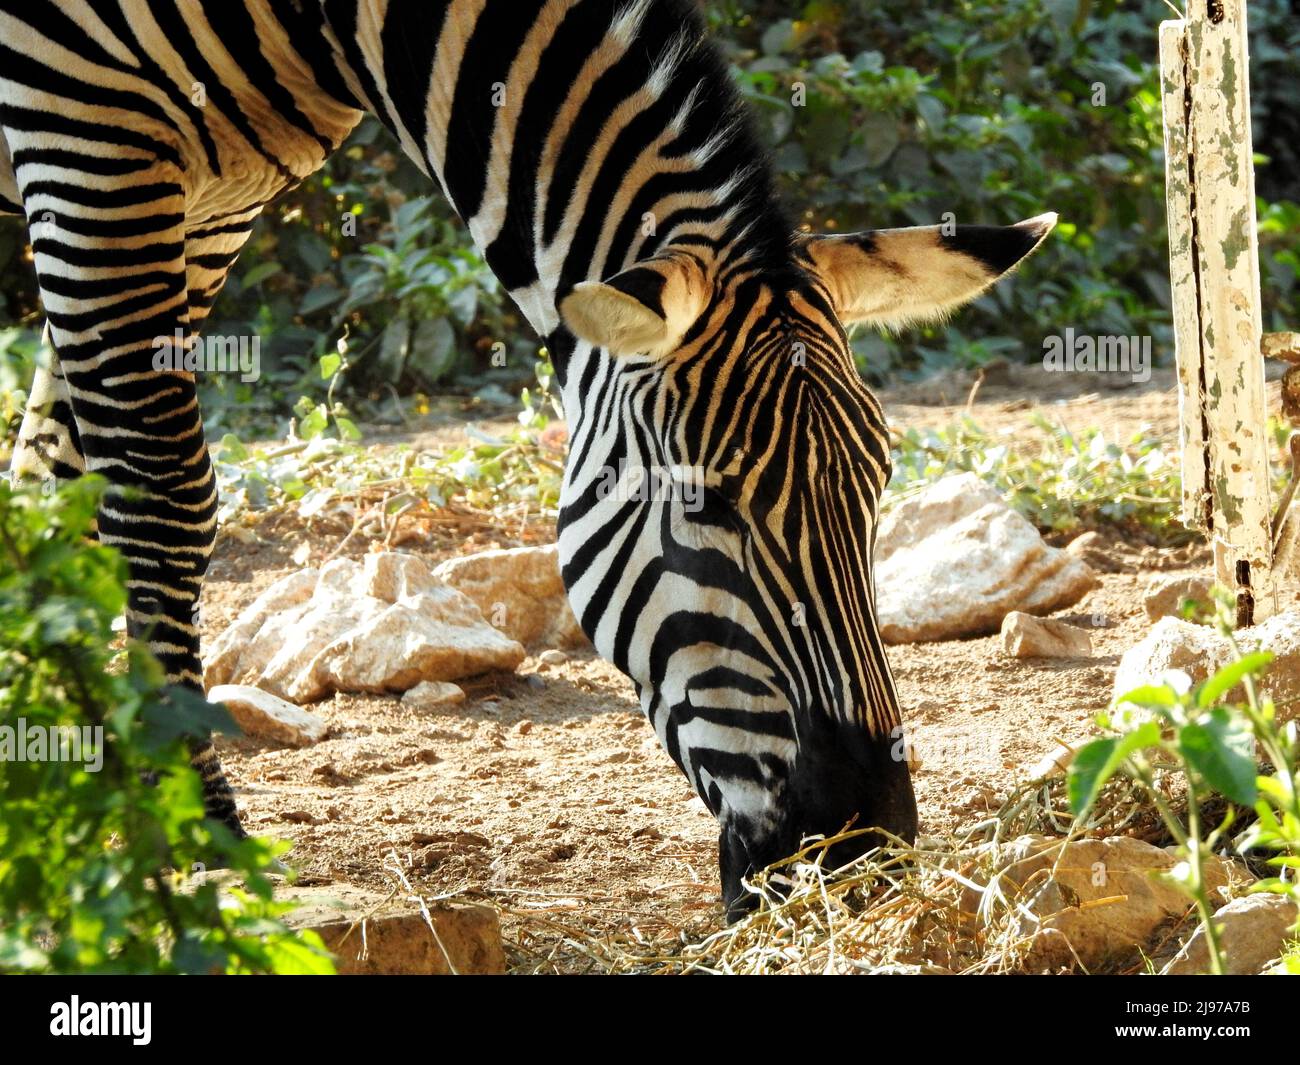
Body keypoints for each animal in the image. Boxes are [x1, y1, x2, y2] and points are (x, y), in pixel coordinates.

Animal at [0, 0, 1054, 916]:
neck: (327, 29)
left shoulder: (212, 196)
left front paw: (38, 767)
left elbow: (56, 481)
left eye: (878, 493)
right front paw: (189, 827)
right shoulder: (87, 125)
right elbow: (160, 487)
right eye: (706, 504)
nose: (867, 846)